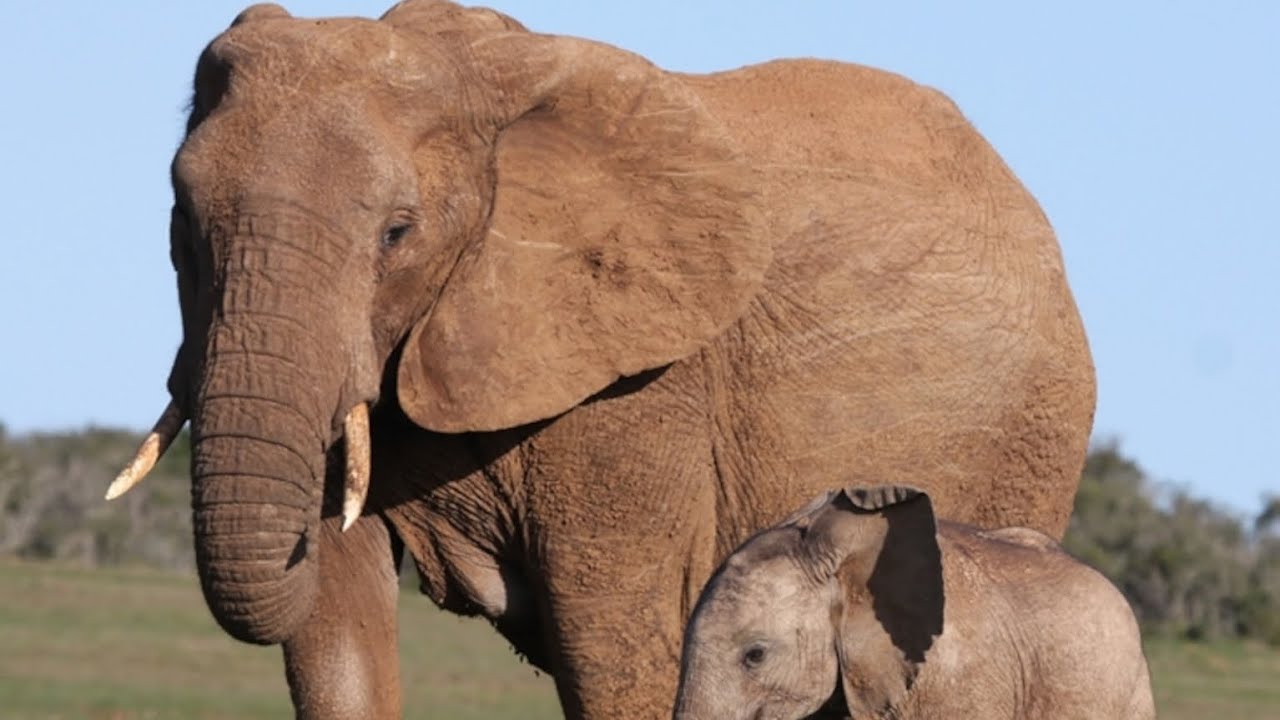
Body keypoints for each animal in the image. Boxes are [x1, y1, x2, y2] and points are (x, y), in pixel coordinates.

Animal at [108, 1, 1096, 718]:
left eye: (398, 233)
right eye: (180, 227)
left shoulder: (640, 389)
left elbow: (613, 649)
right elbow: (336, 629)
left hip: (1029, 435)